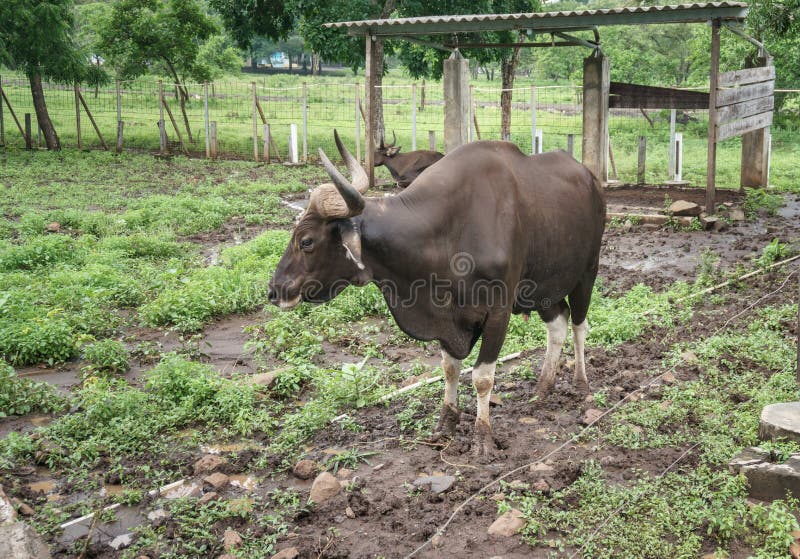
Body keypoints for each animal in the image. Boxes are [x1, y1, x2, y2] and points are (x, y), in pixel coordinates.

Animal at [268, 130, 606, 457]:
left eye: (306, 241)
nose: (275, 290)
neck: (447, 232)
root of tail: (591, 180)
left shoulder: (498, 311)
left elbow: (482, 377)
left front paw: (482, 438)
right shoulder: (448, 317)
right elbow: (450, 368)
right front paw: (446, 423)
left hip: (586, 273)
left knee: (579, 325)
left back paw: (581, 383)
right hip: (545, 287)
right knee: (558, 324)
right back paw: (543, 388)